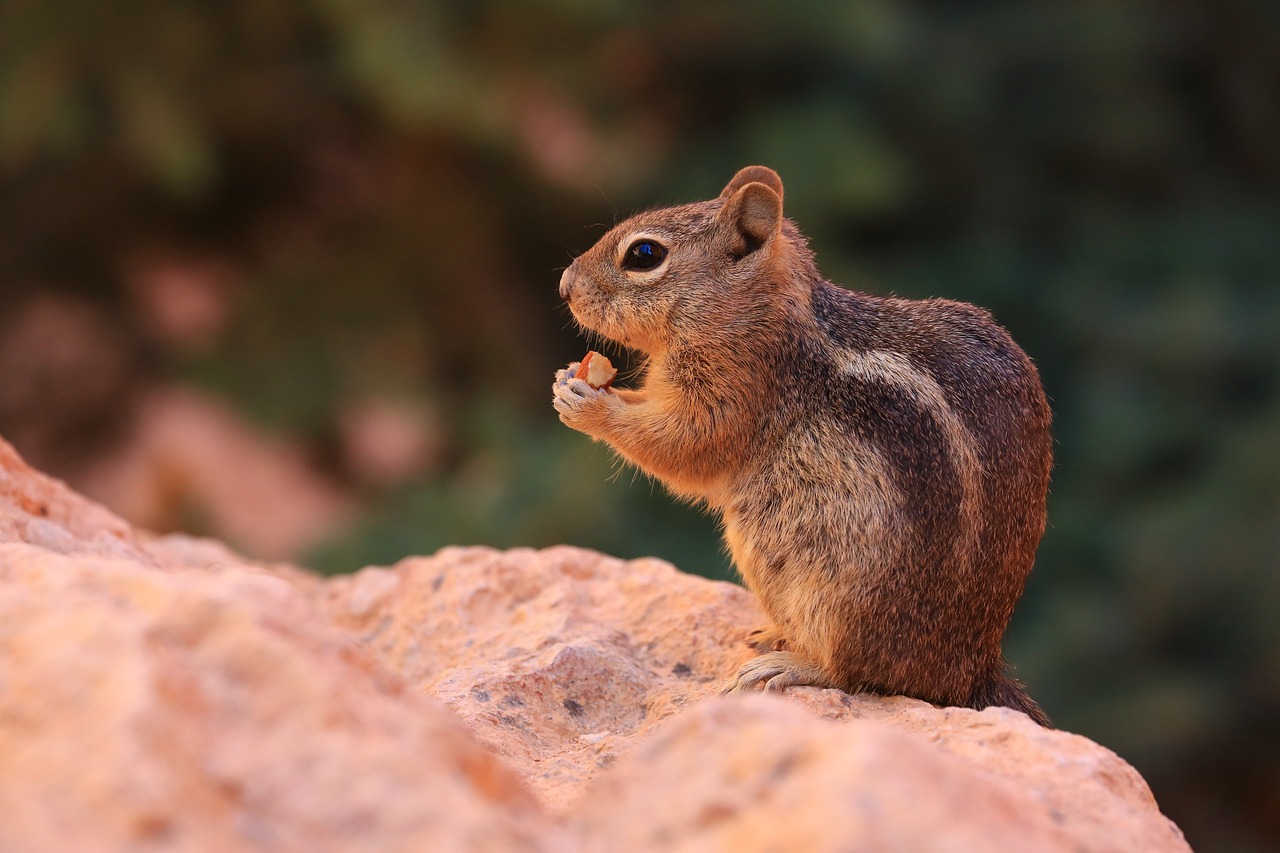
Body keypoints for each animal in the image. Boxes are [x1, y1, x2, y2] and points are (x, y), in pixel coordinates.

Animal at [552, 166, 1052, 726]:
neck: (759, 314)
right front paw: (572, 378)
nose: (564, 286)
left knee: (854, 672)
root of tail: (966, 672)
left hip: (838, 589)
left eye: (643, 255)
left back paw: (792, 665)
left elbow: (684, 446)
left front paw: (588, 405)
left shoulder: (735, 390)